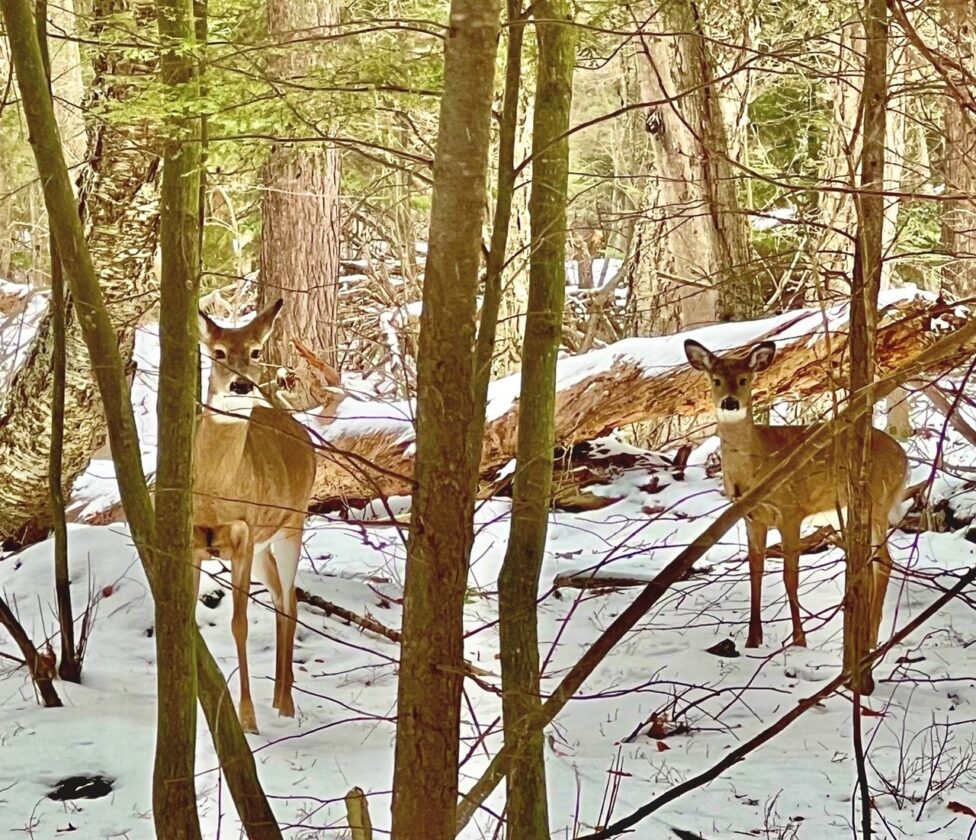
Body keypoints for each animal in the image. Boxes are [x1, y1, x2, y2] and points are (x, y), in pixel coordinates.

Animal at [194, 298, 318, 733]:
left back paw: (285, 704)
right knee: (284, 594)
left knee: (288, 602)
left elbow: (240, 623)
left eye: (255, 352)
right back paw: (281, 698)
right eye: (217, 352)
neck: (215, 492)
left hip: (292, 524)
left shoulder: (242, 536)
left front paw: (246, 716)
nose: (241, 385)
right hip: (265, 545)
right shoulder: (190, 538)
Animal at [684, 339, 908, 674]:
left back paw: (869, 640)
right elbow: (756, 572)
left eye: (744, 379)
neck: (756, 469)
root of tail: (905, 459)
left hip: (878, 500)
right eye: (716, 380)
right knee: (869, 564)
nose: (730, 403)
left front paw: (800, 640)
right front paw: (753, 639)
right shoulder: (752, 518)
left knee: (884, 561)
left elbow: (791, 577)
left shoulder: (791, 512)